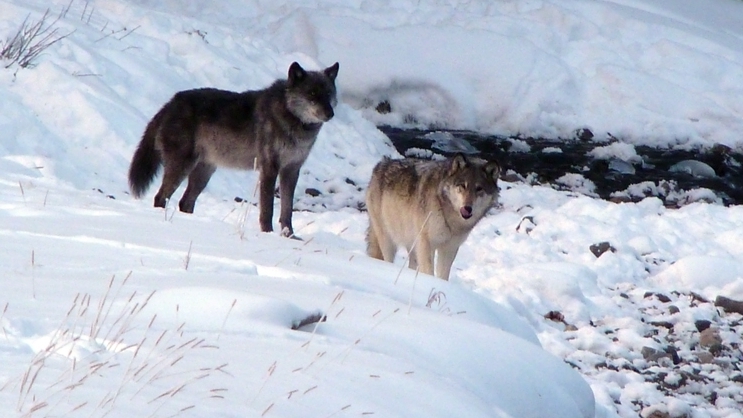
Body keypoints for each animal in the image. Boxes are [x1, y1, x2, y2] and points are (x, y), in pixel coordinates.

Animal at [128, 61, 339, 237]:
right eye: (312, 94)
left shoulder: (291, 170)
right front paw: (268, 234)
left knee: (184, 202)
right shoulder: (269, 169)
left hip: (203, 173)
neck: (292, 118)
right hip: (181, 168)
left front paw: (289, 236)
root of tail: (170, 103)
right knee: (160, 197)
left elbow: (287, 210)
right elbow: (268, 209)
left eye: (329, 94)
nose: (330, 113)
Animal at [365, 154, 500, 280]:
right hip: (389, 240)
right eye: (462, 186)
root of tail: (380, 164)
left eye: (479, 189)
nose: (467, 208)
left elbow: (443, 276)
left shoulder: (449, 248)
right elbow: (429, 272)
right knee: (387, 260)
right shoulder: (427, 243)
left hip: (413, 244)